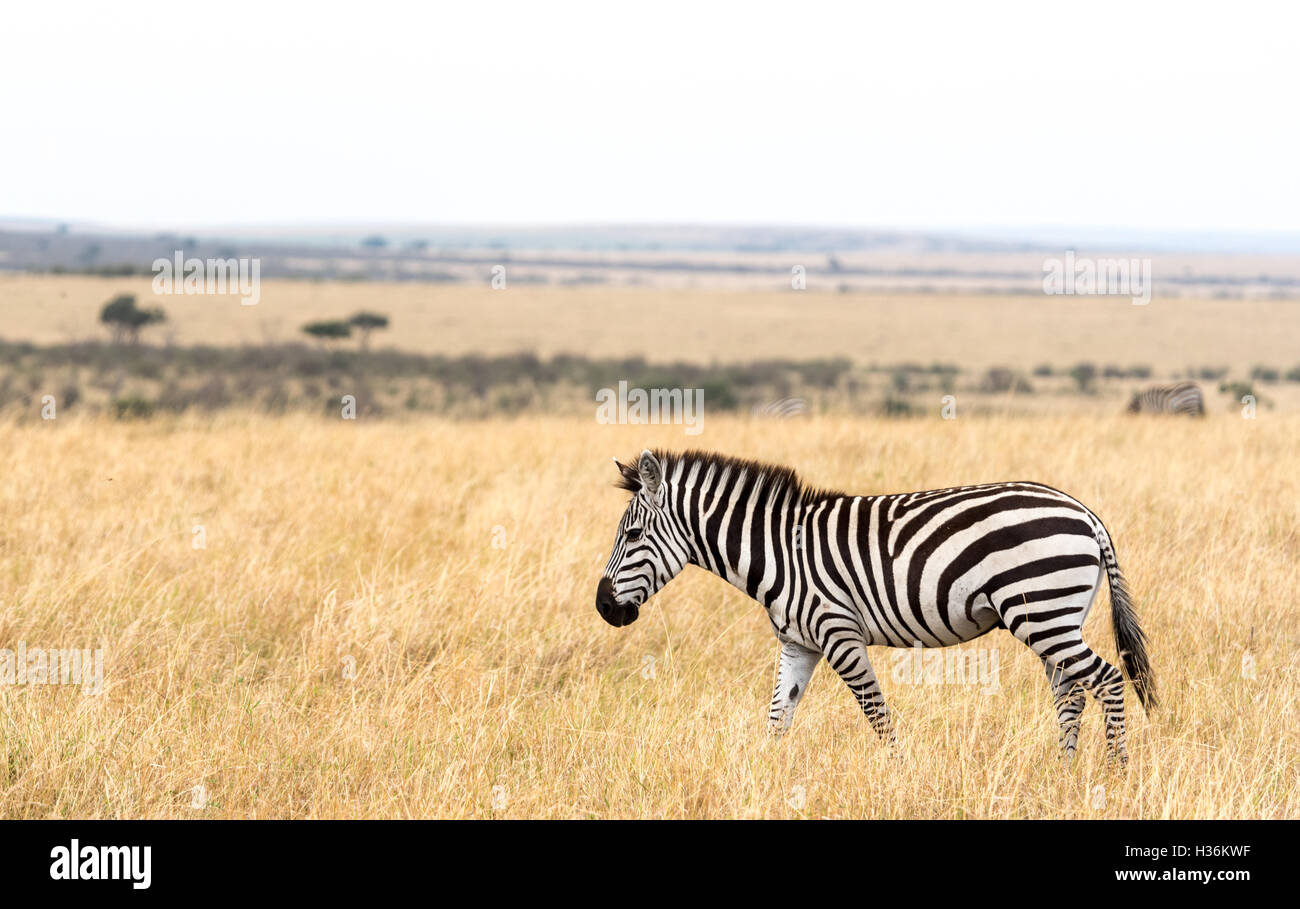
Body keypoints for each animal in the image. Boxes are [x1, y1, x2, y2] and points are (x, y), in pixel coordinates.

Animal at [596, 449, 1156, 763]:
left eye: (633, 534)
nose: (603, 607)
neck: (779, 552)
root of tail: (1086, 514)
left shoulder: (838, 633)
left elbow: (876, 714)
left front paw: (899, 774)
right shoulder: (799, 644)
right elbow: (778, 718)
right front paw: (762, 778)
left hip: (1042, 613)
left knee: (1106, 680)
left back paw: (1115, 773)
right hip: (1052, 617)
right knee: (1071, 693)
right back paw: (1065, 775)